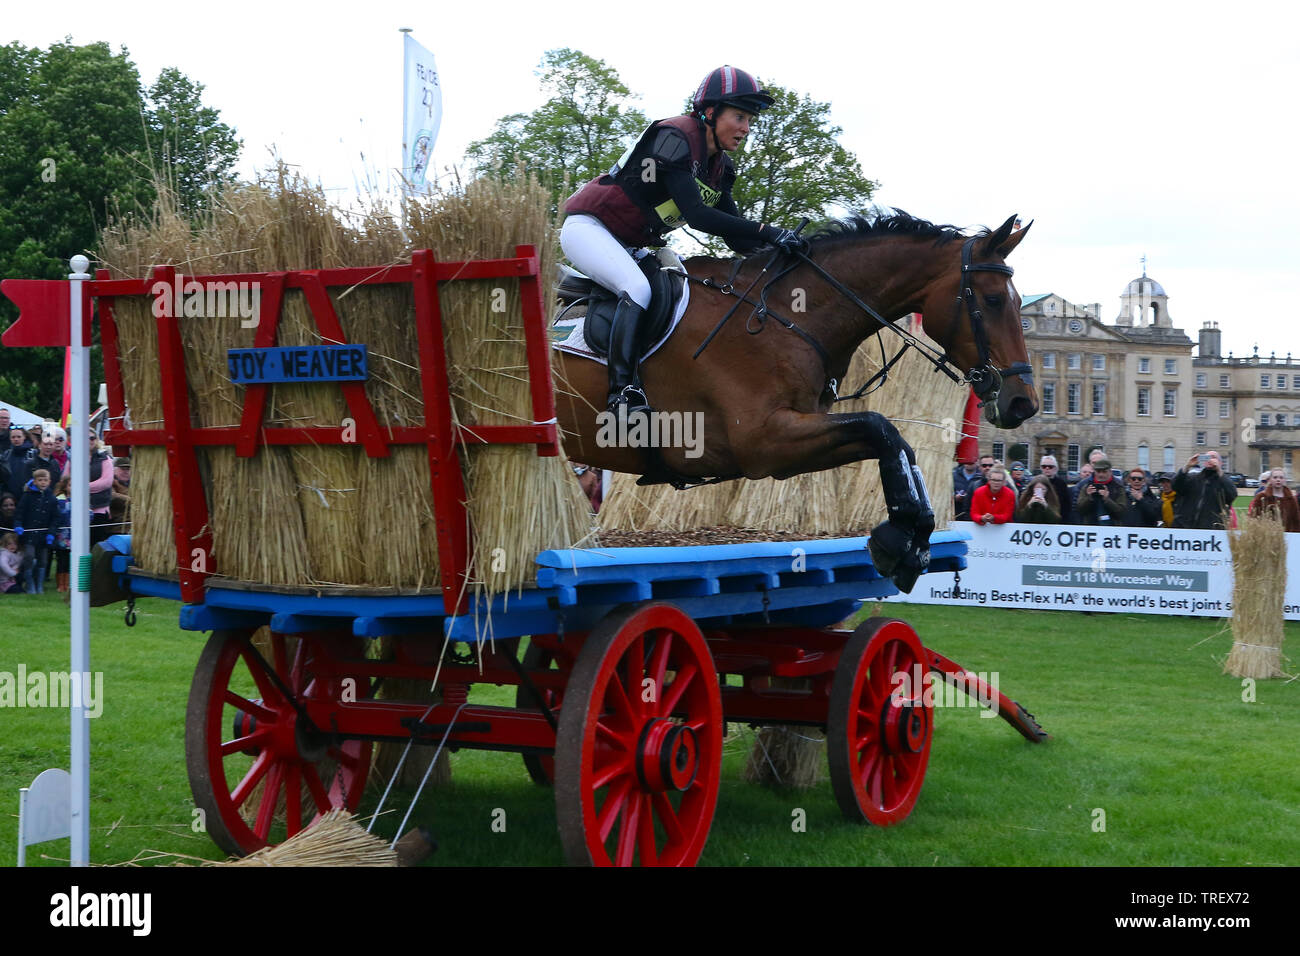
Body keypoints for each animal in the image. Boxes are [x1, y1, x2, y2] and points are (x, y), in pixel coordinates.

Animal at [552, 211, 1036, 591]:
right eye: (994, 300)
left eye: (1018, 304)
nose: (1024, 403)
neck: (786, 315)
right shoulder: (765, 443)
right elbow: (880, 427)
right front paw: (901, 538)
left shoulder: (795, 437)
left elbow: (893, 441)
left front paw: (910, 537)